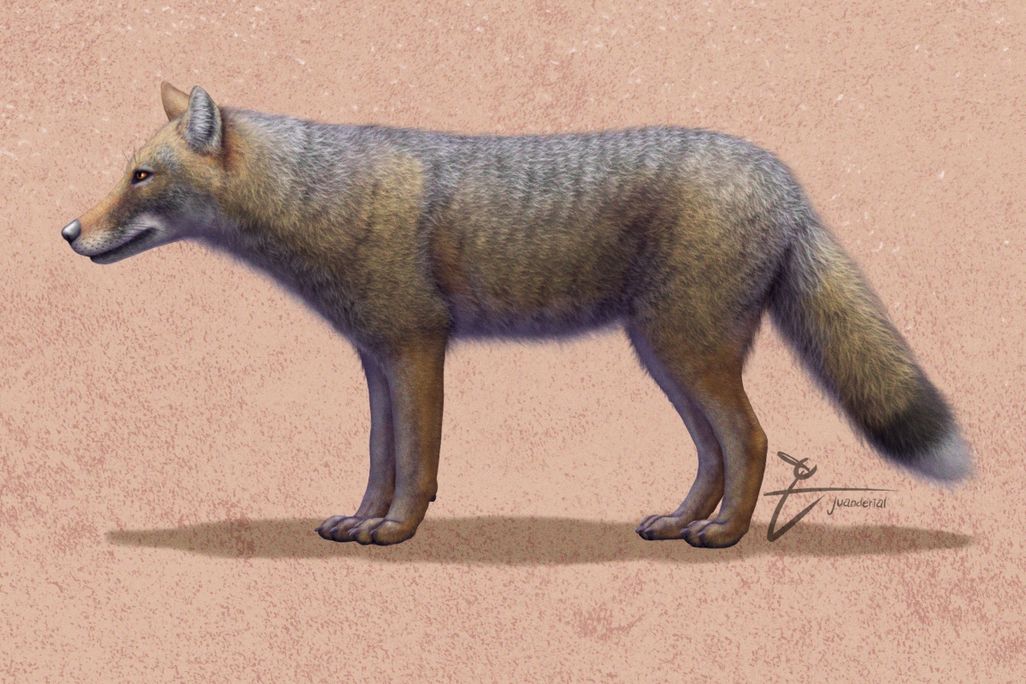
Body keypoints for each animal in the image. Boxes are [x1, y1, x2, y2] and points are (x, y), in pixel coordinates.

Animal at [61, 82, 971, 548]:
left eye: (141, 176)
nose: (69, 232)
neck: (324, 198)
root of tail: (782, 175)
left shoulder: (417, 349)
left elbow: (416, 463)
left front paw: (396, 532)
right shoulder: (376, 357)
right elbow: (379, 456)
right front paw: (361, 519)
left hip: (685, 350)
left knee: (749, 440)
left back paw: (723, 534)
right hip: (665, 355)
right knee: (715, 451)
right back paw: (682, 521)